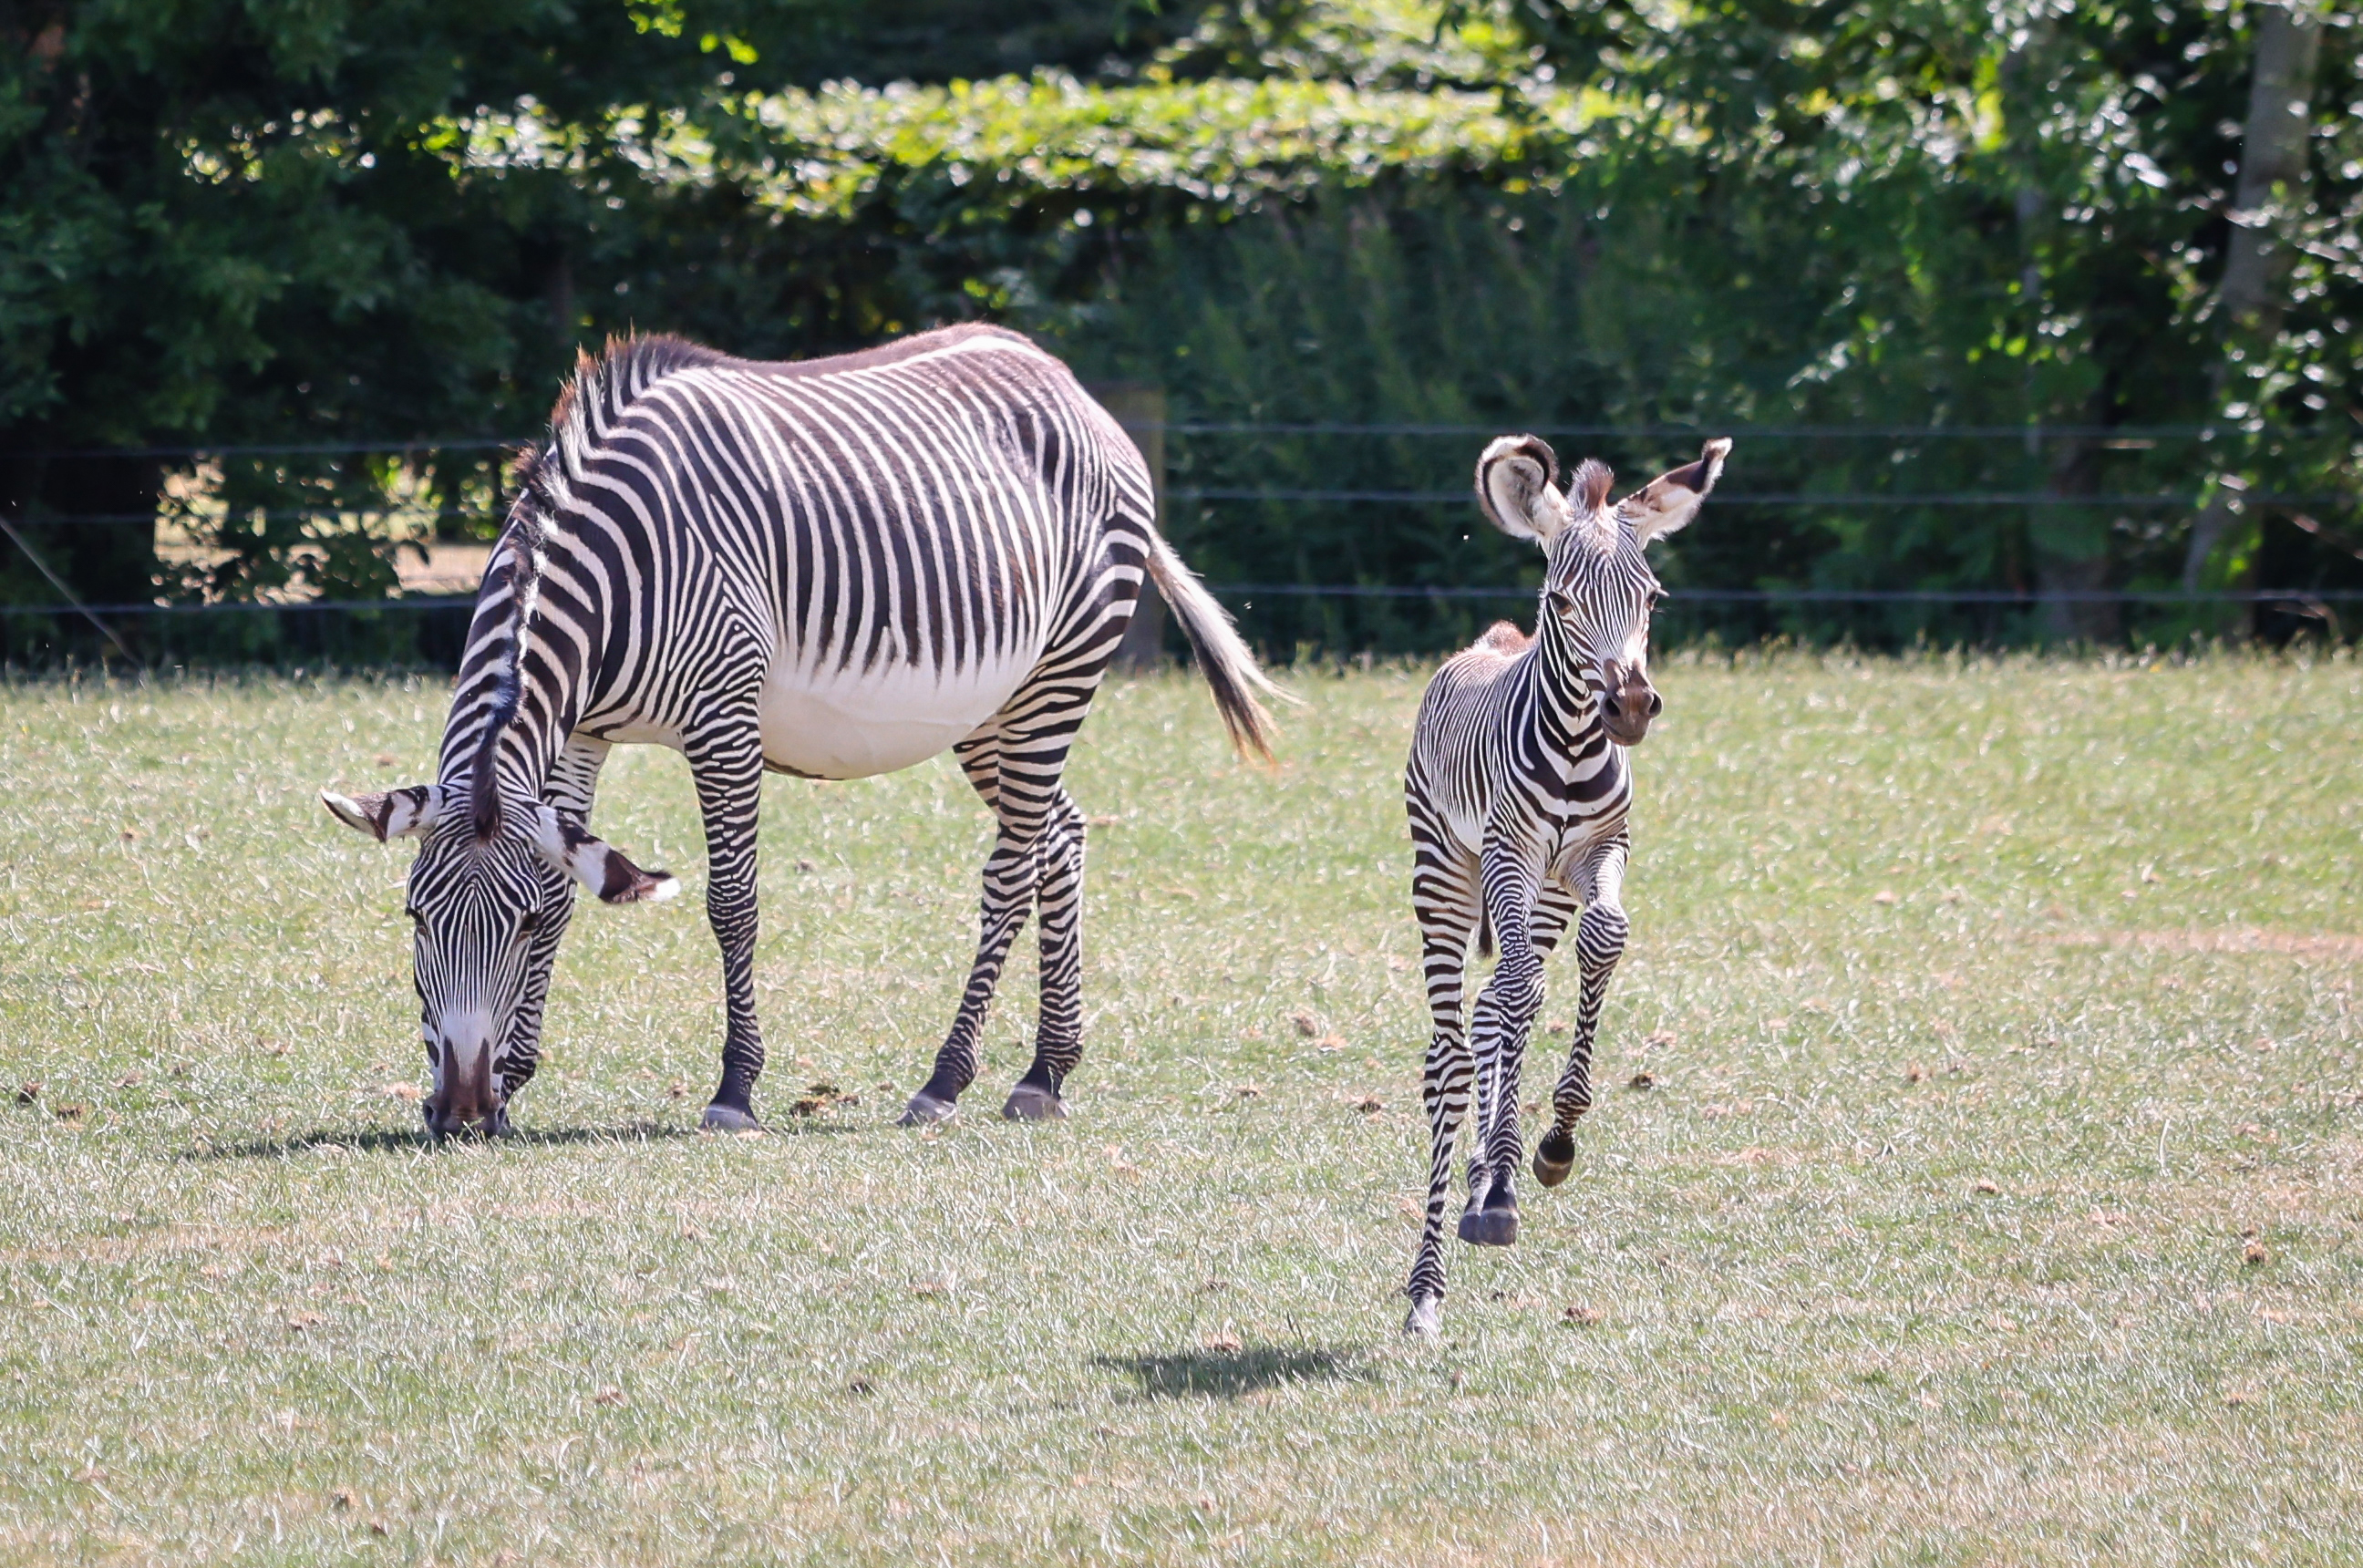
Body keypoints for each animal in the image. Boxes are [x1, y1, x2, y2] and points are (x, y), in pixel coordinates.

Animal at [321, 325, 1283, 1138]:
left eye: (511, 928)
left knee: (1011, 869)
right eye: (415, 918)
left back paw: (945, 1081)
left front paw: (734, 1091)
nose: (460, 1114)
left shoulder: (724, 716)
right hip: (992, 707)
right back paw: (1045, 1072)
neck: (611, 573)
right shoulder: (584, 730)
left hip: (1062, 670)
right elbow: (570, 887)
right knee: (1061, 834)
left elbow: (731, 903)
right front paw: (518, 1080)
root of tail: (1066, 381)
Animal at [1400, 433, 1729, 1336]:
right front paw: (1505, 1184)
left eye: (1653, 597)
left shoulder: (1600, 850)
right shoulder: (1509, 853)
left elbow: (1604, 941)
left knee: (1500, 1006)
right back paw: (1430, 1283)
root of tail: (1488, 640)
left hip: (1544, 890)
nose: (1631, 709)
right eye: (1564, 600)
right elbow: (1515, 994)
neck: (1579, 747)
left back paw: (1489, 1171)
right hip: (1446, 869)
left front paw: (1554, 1142)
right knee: (1456, 1043)